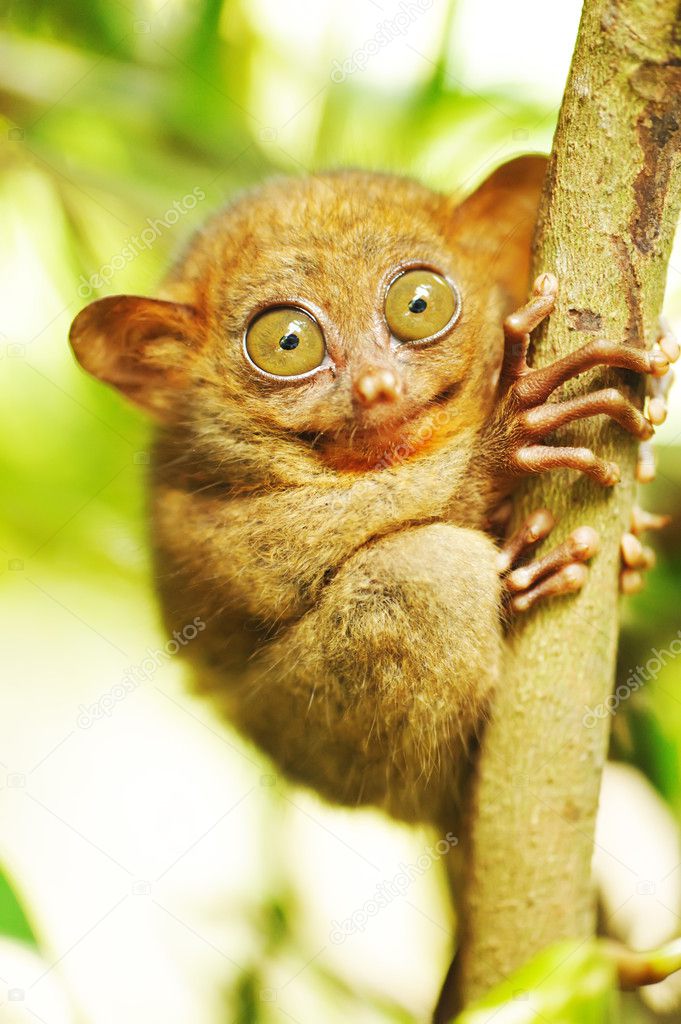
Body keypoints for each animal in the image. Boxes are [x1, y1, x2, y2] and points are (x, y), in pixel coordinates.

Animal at [69, 155, 680, 999]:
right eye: (287, 343)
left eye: (418, 305)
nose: (376, 387)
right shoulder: (196, 510)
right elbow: (270, 560)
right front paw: (508, 439)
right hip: (319, 745)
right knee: (418, 575)